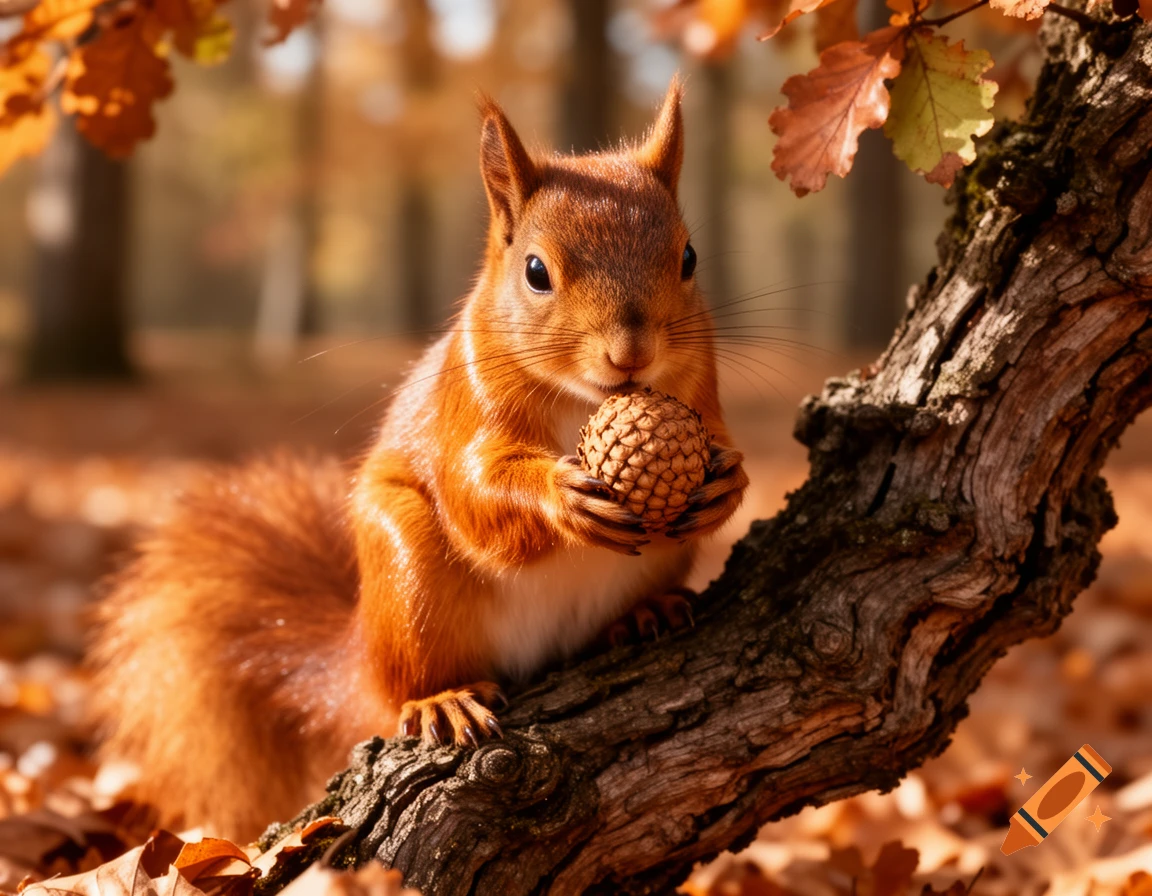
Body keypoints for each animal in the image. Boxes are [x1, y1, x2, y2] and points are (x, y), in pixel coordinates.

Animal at [89, 79, 749, 842]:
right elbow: (474, 489)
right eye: (536, 272)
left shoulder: (701, 388)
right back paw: (443, 699)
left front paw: (727, 482)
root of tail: (361, 656)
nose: (631, 354)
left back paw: (643, 614)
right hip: (407, 571)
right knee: (404, 683)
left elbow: (720, 444)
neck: (587, 401)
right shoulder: (465, 405)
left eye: (689, 258)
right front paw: (561, 495)